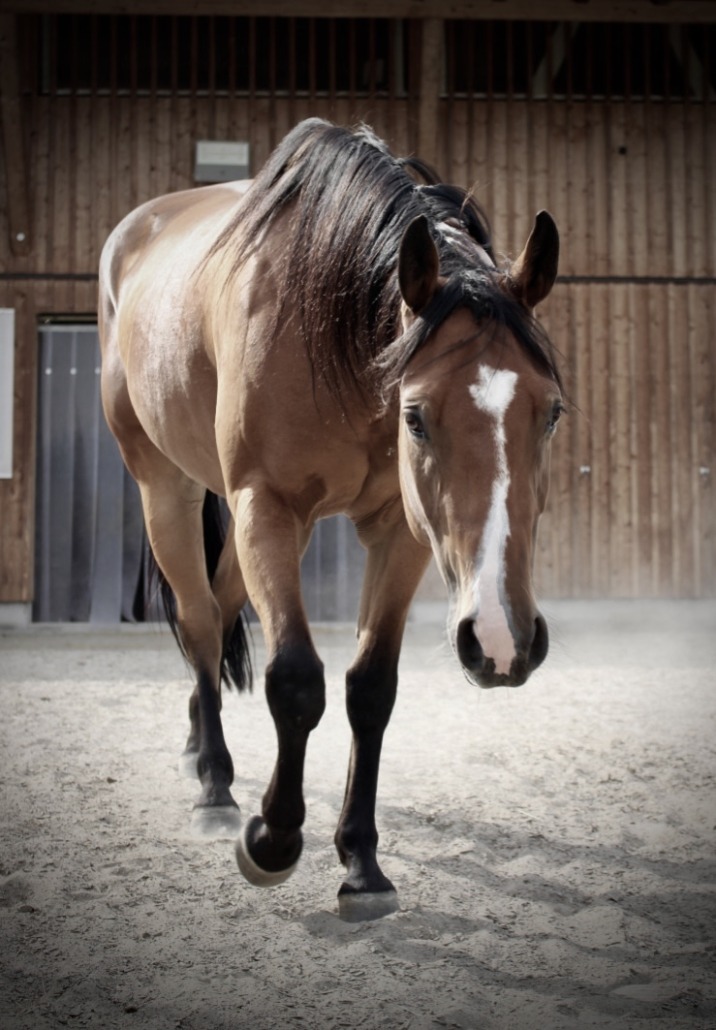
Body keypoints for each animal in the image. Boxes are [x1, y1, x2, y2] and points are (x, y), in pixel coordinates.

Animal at [98, 118, 563, 920]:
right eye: (417, 416)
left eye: (553, 413)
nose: (502, 640)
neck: (332, 325)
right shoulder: (267, 507)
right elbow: (295, 681)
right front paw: (274, 839)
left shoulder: (399, 531)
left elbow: (370, 689)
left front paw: (361, 862)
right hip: (167, 488)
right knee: (197, 621)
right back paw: (215, 786)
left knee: (219, 611)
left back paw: (198, 750)